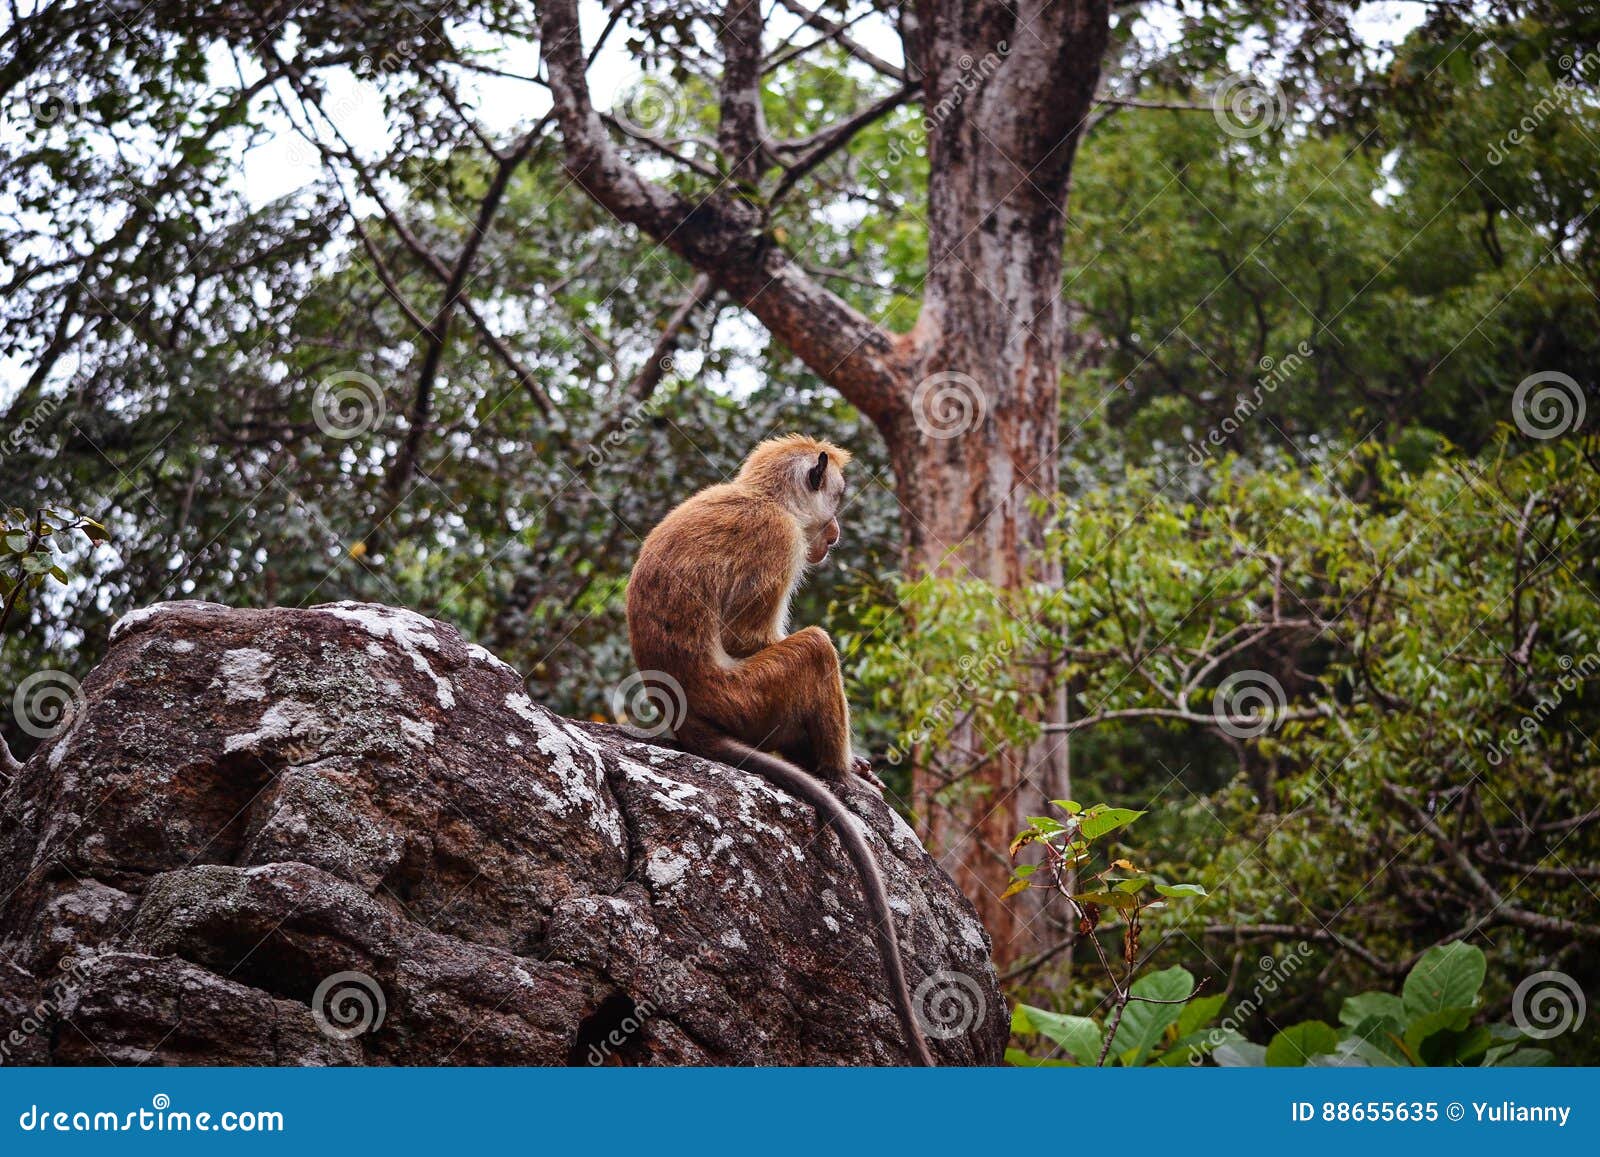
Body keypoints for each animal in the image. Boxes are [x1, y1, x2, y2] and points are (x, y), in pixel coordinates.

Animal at [626, 433, 936, 1066]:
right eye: (835, 501)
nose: (835, 534)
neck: (764, 498)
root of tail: (689, 719)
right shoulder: (777, 541)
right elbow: (748, 638)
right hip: (752, 699)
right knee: (813, 648)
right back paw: (838, 768)